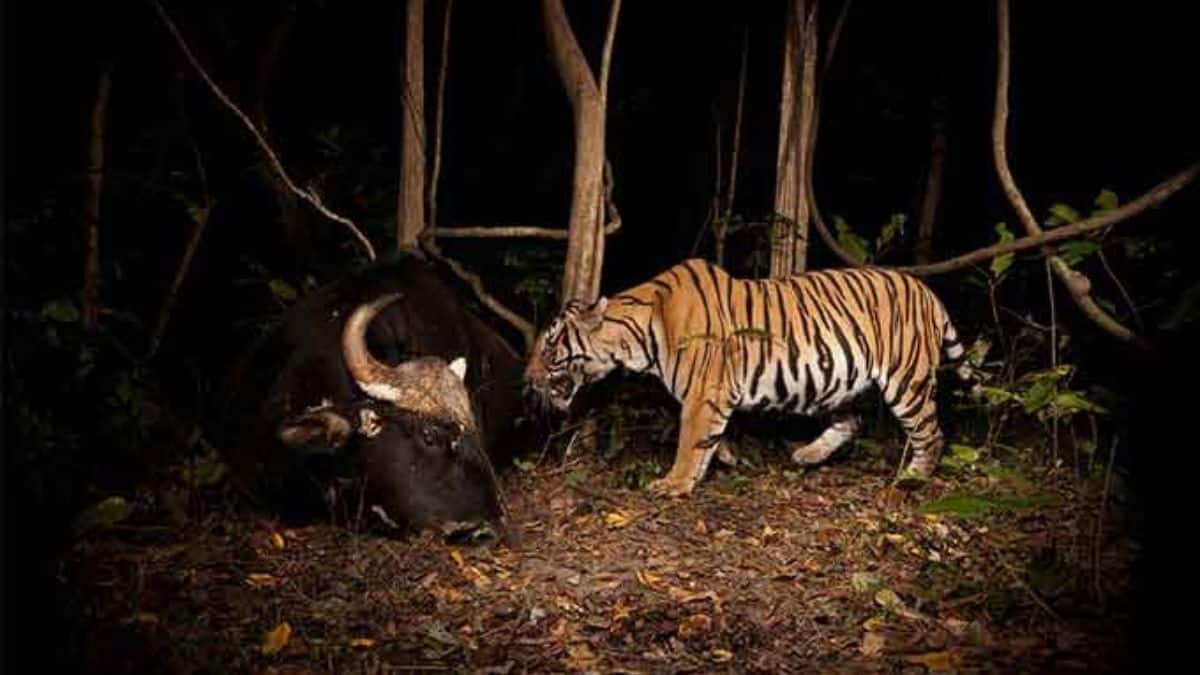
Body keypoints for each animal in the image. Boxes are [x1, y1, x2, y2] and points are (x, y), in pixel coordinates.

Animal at [524, 258, 972, 497]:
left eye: (549, 346)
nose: (527, 379)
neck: (635, 339)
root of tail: (927, 290)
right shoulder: (712, 394)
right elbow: (709, 436)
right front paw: (723, 457)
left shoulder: (704, 391)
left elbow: (689, 439)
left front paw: (675, 483)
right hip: (837, 381)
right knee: (852, 421)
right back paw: (808, 454)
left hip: (906, 380)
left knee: (932, 432)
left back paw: (915, 476)